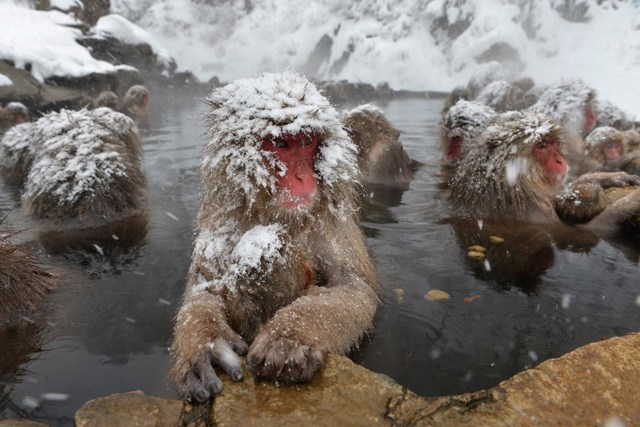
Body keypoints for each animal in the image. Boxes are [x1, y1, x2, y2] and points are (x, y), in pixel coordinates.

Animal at [170, 72, 380, 403]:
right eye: (280, 143)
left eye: (306, 141)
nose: (301, 178)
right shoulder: (223, 217)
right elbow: (204, 287)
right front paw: (205, 344)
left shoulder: (332, 221)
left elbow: (355, 287)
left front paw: (289, 335)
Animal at [449, 110, 640, 232]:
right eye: (541, 146)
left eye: (552, 143)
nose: (560, 160)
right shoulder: (531, 210)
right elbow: (582, 231)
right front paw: (631, 202)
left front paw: (605, 177)